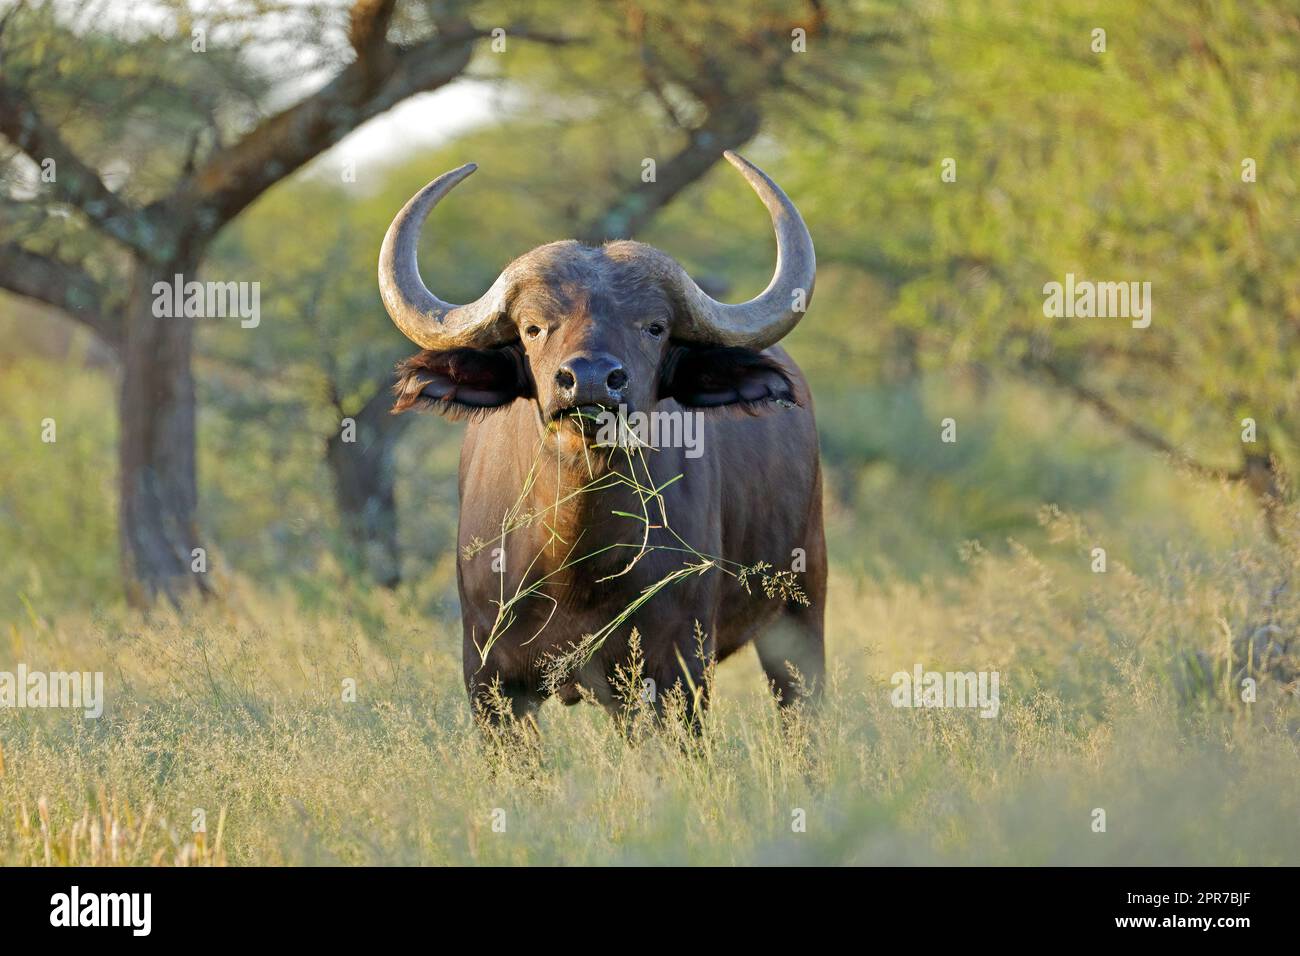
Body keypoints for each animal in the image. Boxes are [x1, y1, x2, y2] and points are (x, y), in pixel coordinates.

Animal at [380, 151, 825, 725]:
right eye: (532, 327)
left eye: (654, 326)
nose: (590, 379)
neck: (576, 559)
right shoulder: (491, 683)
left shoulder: (679, 673)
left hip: (801, 612)